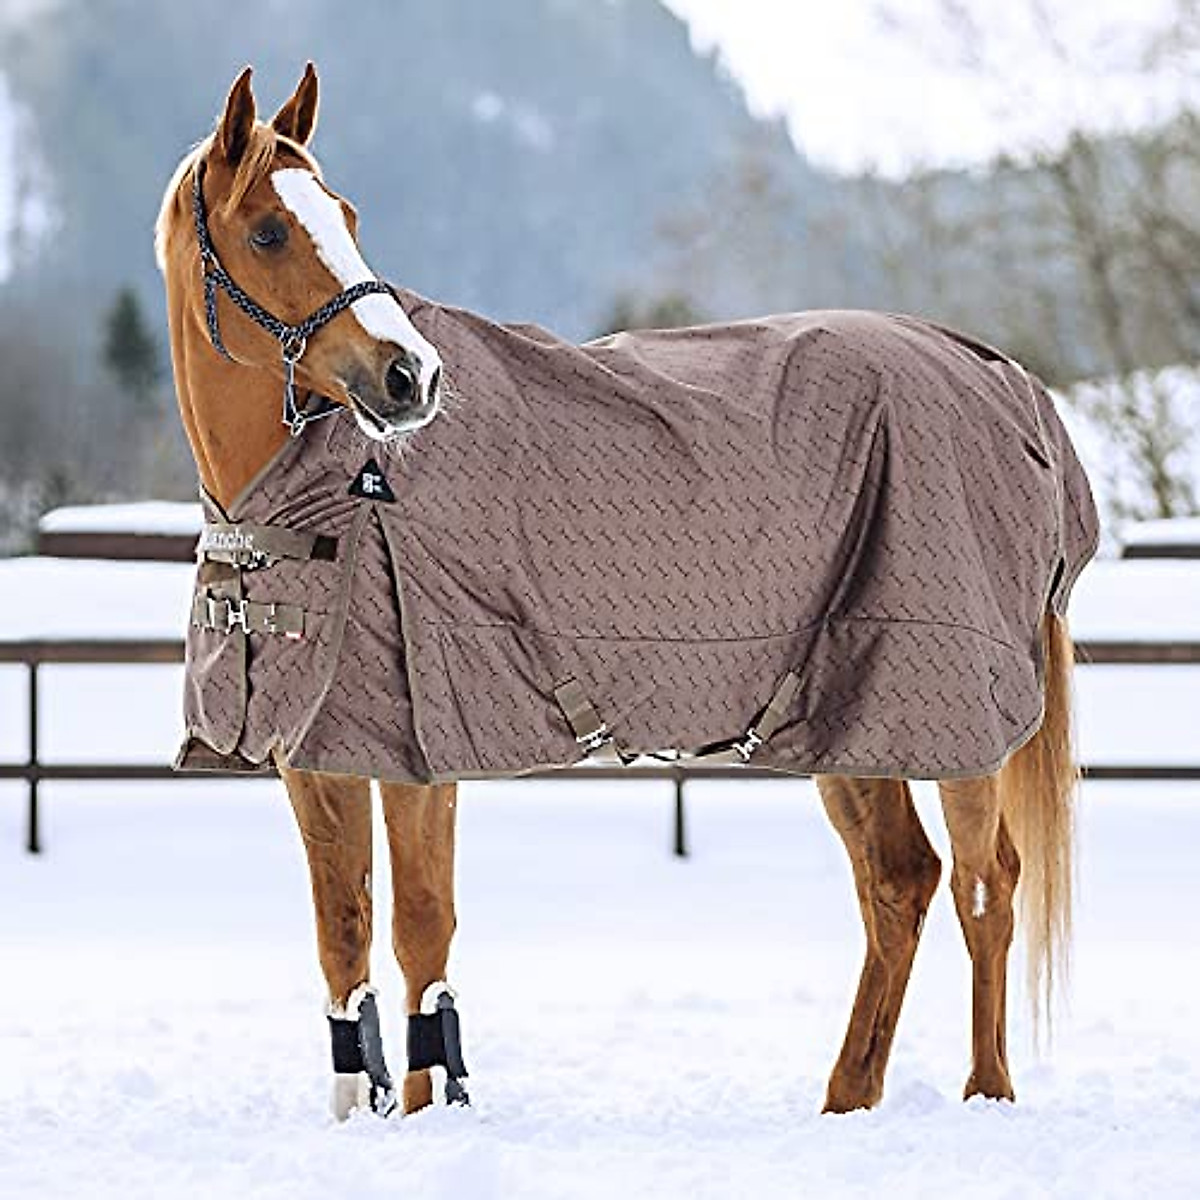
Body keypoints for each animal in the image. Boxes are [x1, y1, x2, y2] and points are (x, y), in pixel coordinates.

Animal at [156, 63, 1093, 1120]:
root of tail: (1006, 384)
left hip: (956, 715)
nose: (410, 376)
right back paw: (846, 1101)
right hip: (855, 718)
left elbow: (420, 928)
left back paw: (986, 1093)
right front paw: (364, 1115)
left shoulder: (420, 753)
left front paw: (435, 1113)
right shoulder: (316, 755)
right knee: (900, 882)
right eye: (269, 232)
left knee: (985, 883)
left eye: (347, 216)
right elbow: (342, 937)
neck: (345, 495)